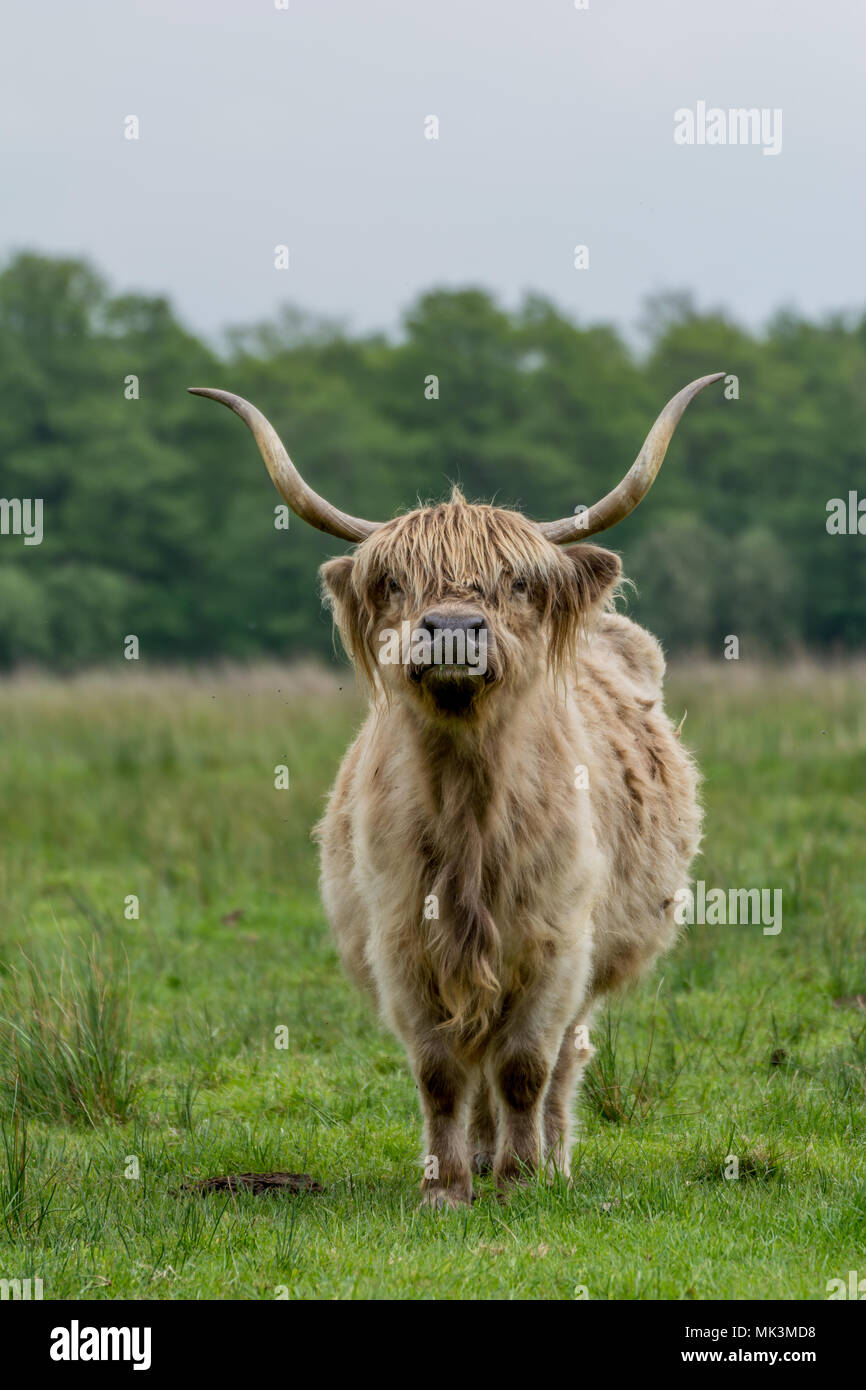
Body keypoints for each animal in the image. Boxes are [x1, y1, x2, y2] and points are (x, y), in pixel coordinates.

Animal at [190, 372, 722, 1205]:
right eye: (394, 581)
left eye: (519, 580)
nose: (449, 630)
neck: (470, 809)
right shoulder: (405, 940)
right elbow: (442, 1072)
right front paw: (447, 1188)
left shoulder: (555, 942)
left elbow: (526, 1066)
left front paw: (520, 1180)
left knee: (560, 1061)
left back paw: (551, 1159)